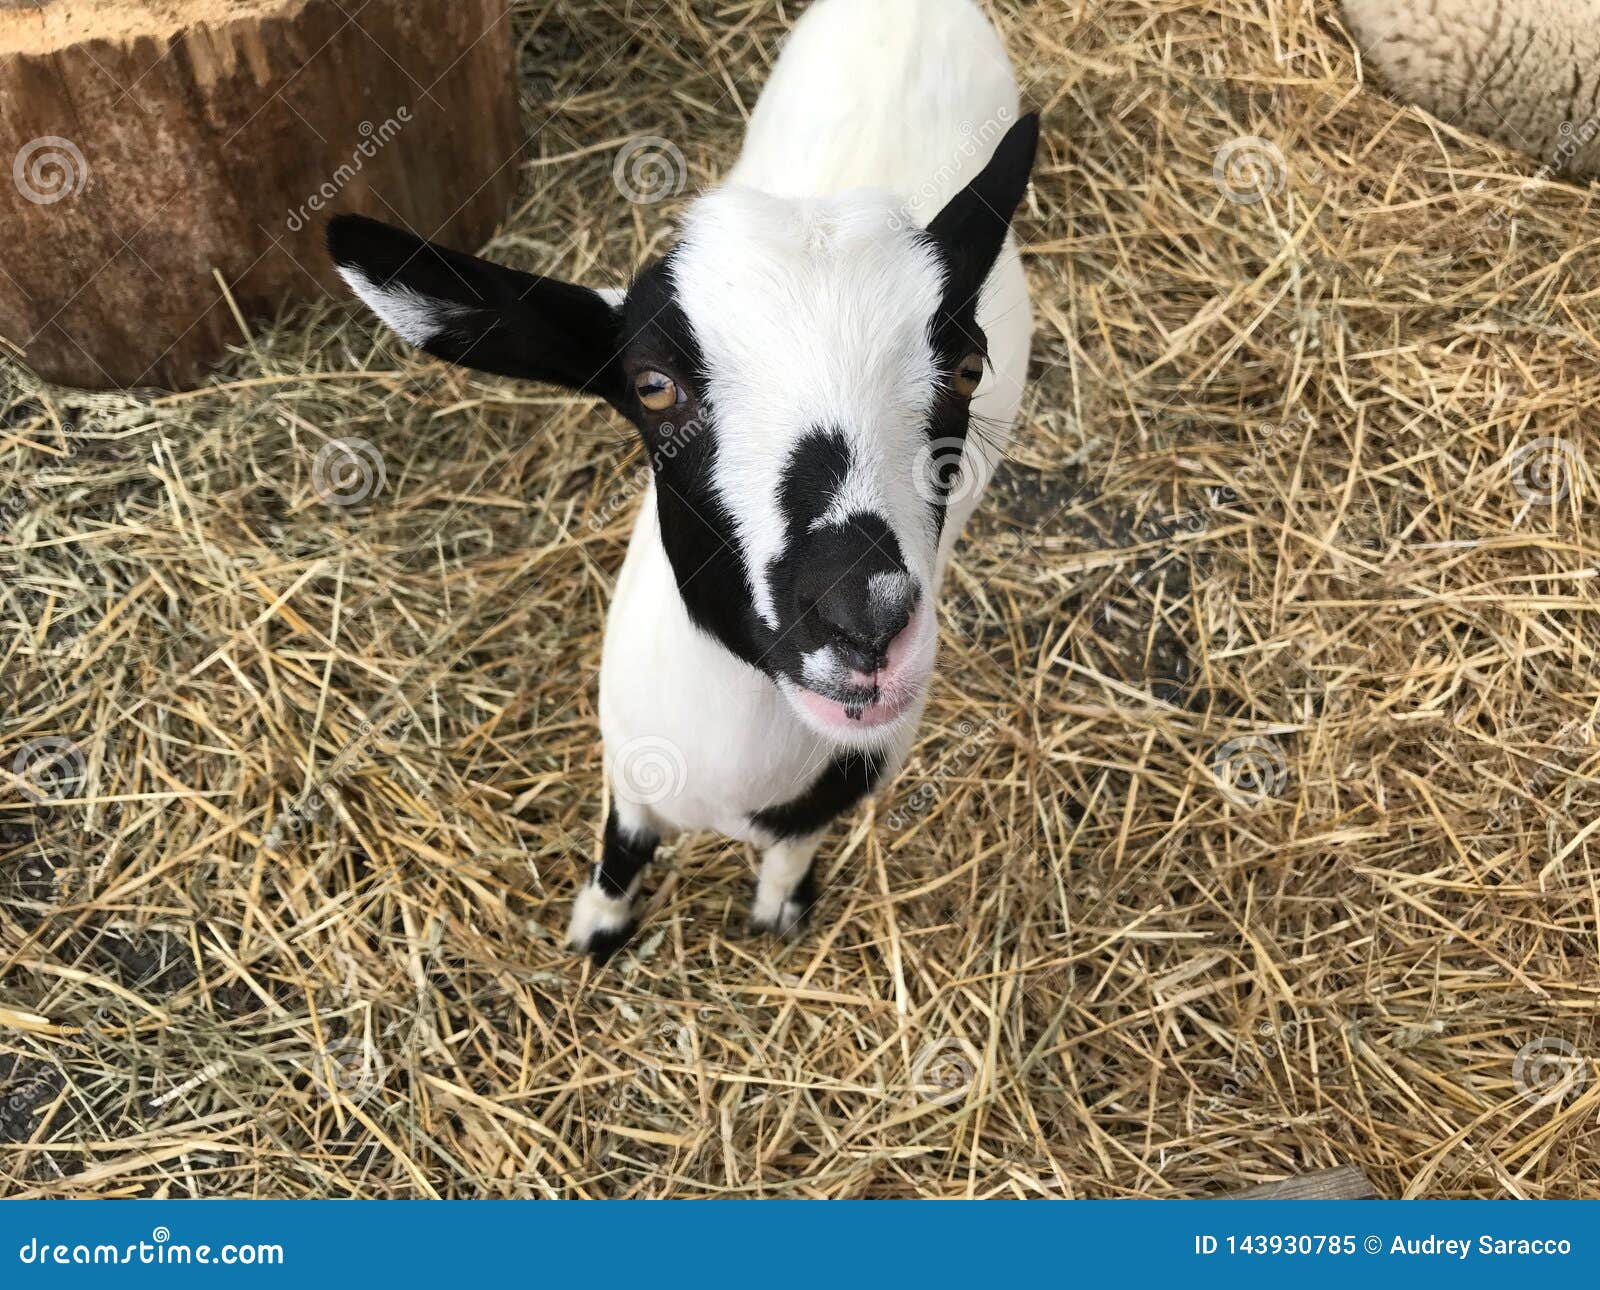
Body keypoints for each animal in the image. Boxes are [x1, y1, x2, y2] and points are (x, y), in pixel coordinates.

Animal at [327, 0, 1038, 962]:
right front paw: (597, 927)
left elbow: (793, 853)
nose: (863, 618)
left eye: (966, 367)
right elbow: (622, 845)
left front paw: (778, 909)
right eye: (653, 387)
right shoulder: (630, 760)